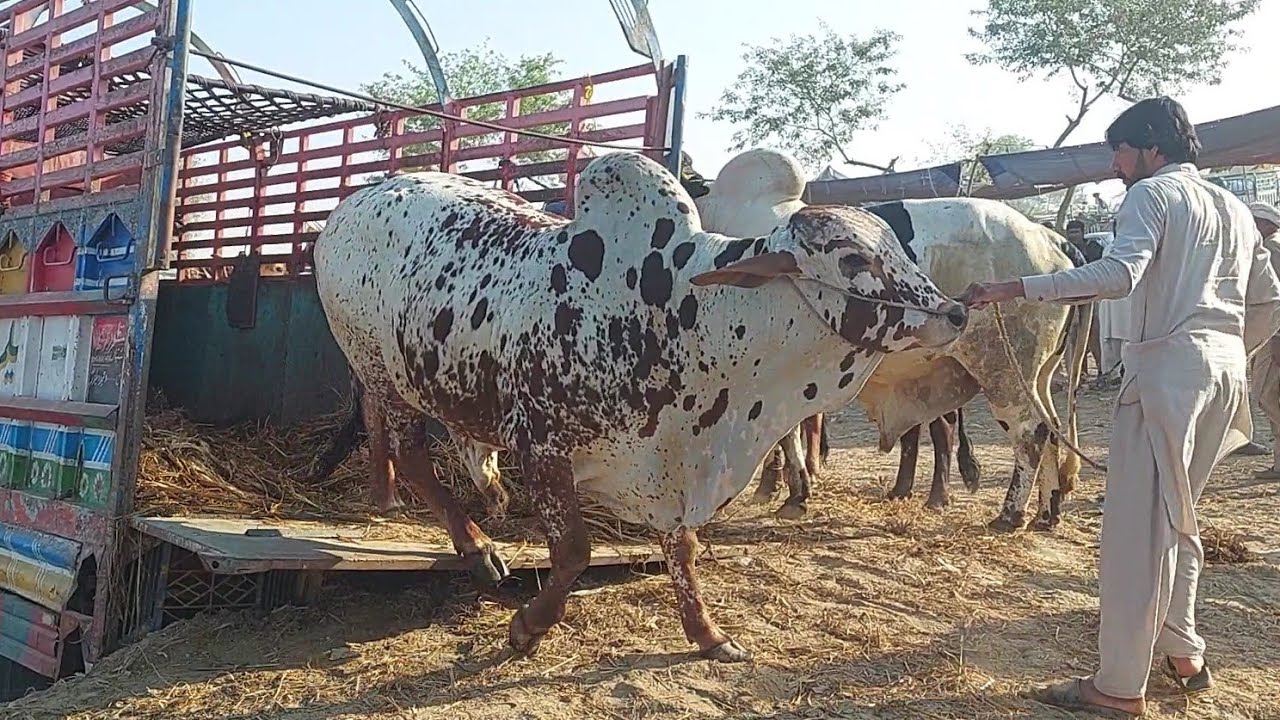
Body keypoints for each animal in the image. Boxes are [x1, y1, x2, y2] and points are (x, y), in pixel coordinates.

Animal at [312, 150, 968, 662]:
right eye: (853, 259)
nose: (956, 312)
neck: (686, 313)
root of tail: (354, 203)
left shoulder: (671, 464)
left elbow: (682, 548)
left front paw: (707, 635)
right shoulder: (543, 446)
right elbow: (575, 550)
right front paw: (526, 628)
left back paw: (458, 499)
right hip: (383, 369)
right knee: (411, 453)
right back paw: (476, 547)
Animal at [696, 149, 1091, 530]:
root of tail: (1051, 238)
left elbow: (783, 433)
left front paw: (792, 493)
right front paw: (788, 490)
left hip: (1002, 368)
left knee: (1030, 432)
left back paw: (1010, 515)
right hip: (1037, 373)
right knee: (1053, 428)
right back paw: (1046, 514)